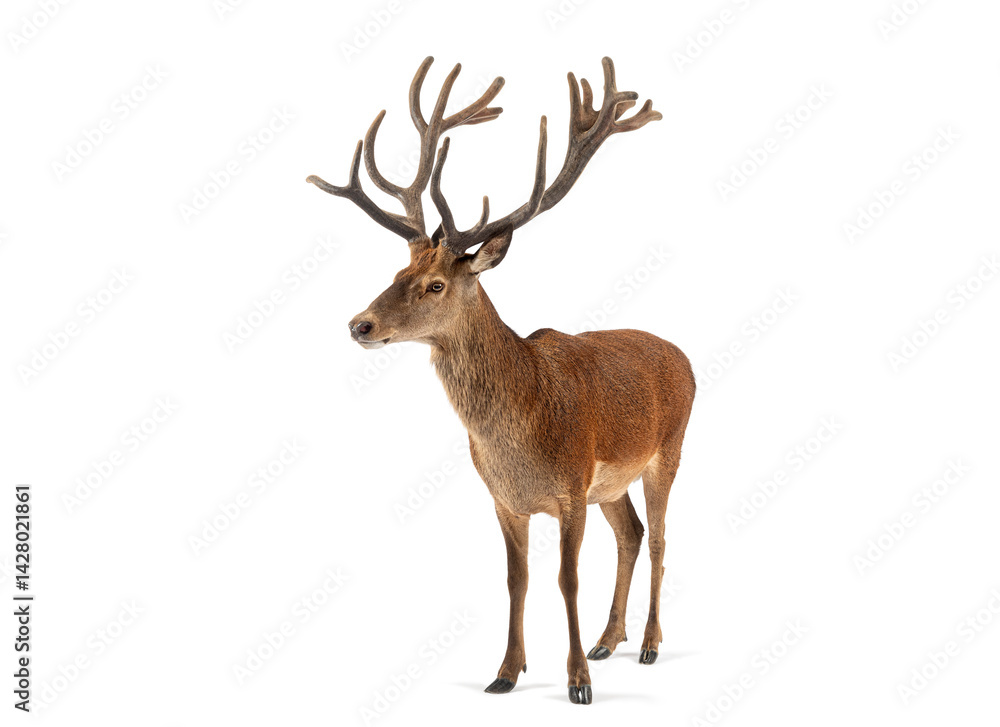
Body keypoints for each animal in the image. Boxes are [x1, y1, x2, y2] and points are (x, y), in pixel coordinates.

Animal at [307, 56, 694, 705]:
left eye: (435, 284)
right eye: (397, 272)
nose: (360, 324)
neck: (520, 433)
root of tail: (686, 357)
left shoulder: (571, 489)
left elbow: (566, 579)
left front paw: (578, 683)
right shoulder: (503, 499)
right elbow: (517, 580)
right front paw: (507, 673)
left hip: (667, 449)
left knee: (663, 537)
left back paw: (646, 644)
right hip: (612, 484)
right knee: (633, 533)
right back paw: (607, 640)